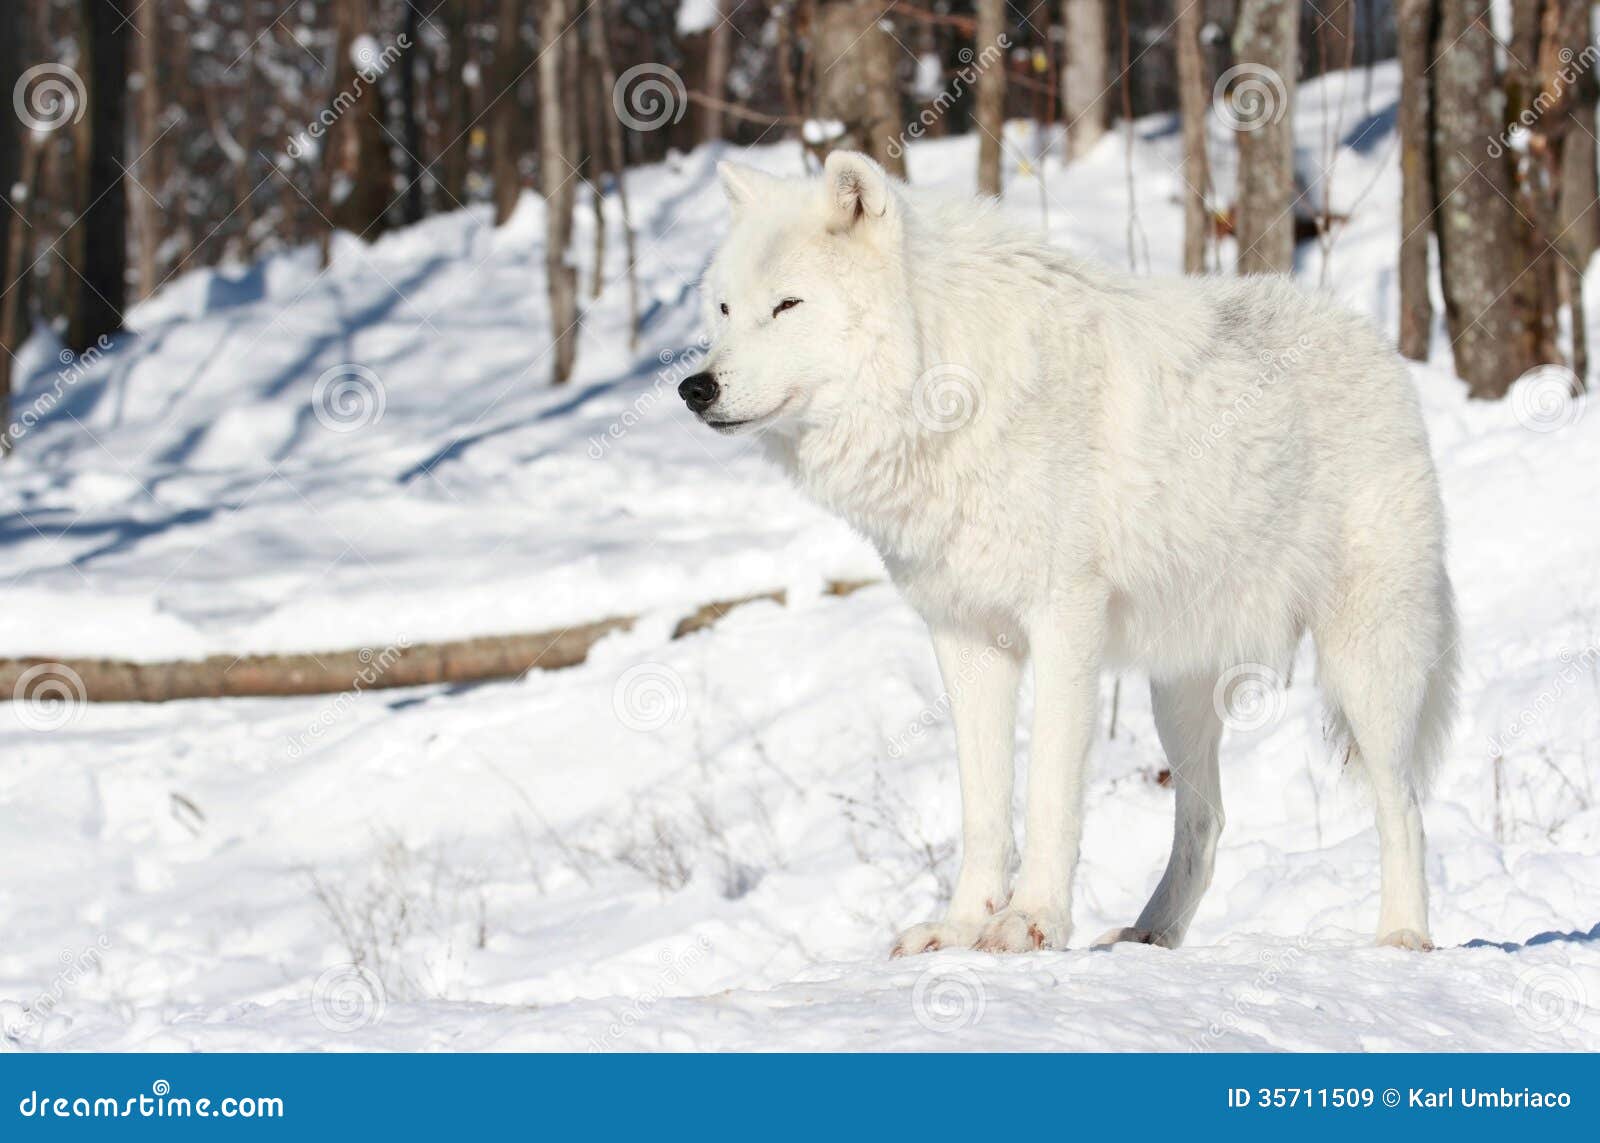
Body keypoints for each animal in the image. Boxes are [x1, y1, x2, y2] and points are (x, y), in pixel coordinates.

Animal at [681, 151, 1457, 955]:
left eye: (787, 305)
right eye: (725, 310)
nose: (693, 387)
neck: (951, 385)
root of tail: (1373, 339)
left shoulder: (1062, 621)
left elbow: (1049, 790)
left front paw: (1030, 921)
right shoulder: (965, 636)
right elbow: (984, 807)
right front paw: (961, 925)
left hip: (1365, 664)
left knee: (1405, 805)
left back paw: (1403, 935)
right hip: (1178, 693)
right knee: (1207, 821)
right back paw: (1149, 935)